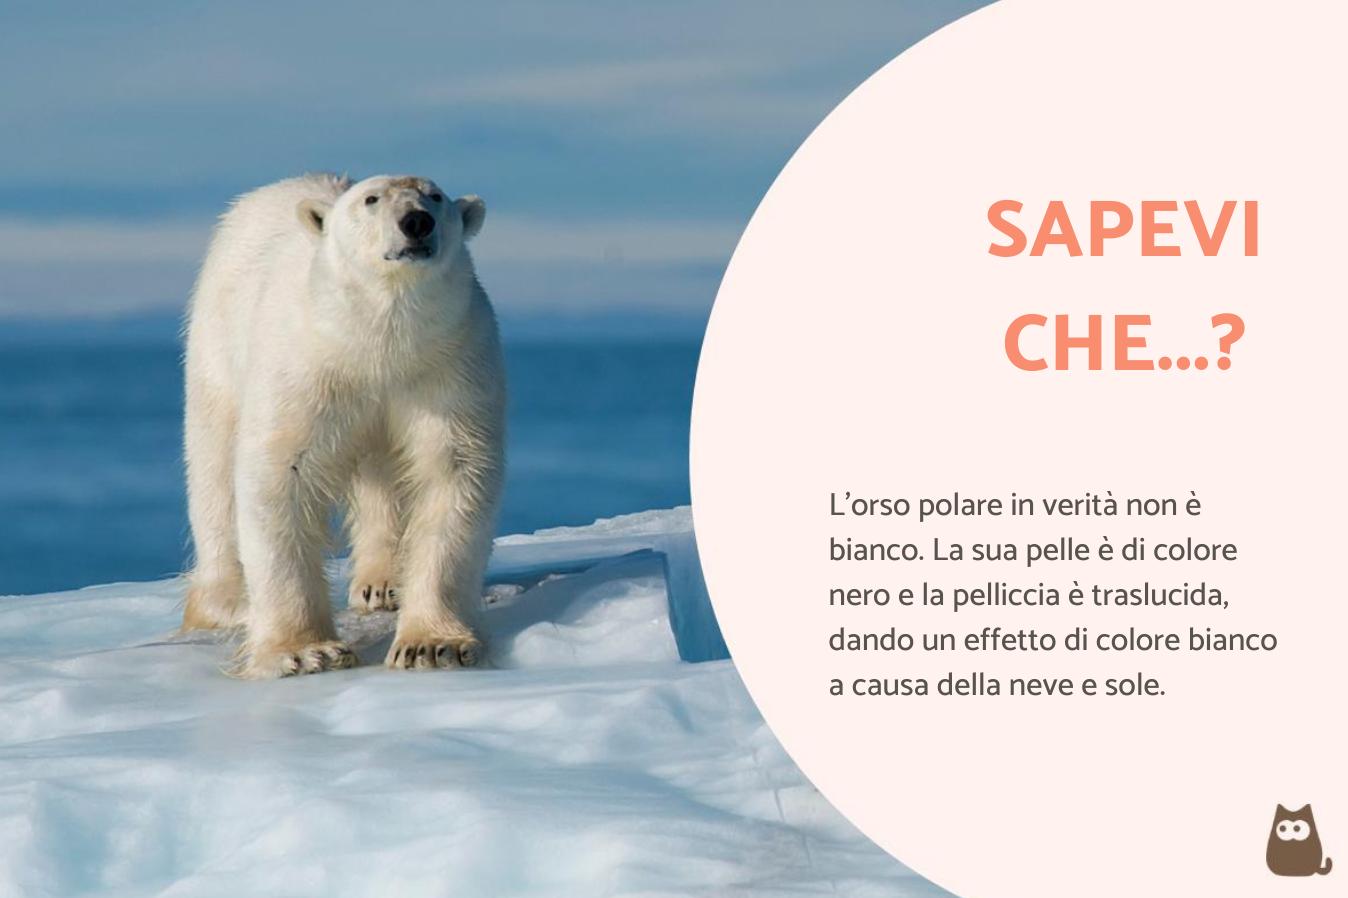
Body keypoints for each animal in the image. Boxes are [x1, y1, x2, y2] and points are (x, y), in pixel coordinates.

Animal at [180, 173, 505, 678]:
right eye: (371, 199)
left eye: (435, 196)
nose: (416, 222)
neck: (378, 340)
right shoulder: (306, 369)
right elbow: (281, 475)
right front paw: (305, 652)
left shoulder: (448, 367)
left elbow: (452, 474)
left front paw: (431, 645)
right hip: (216, 339)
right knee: (212, 466)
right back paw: (228, 602)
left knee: (382, 477)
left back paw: (383, 583)